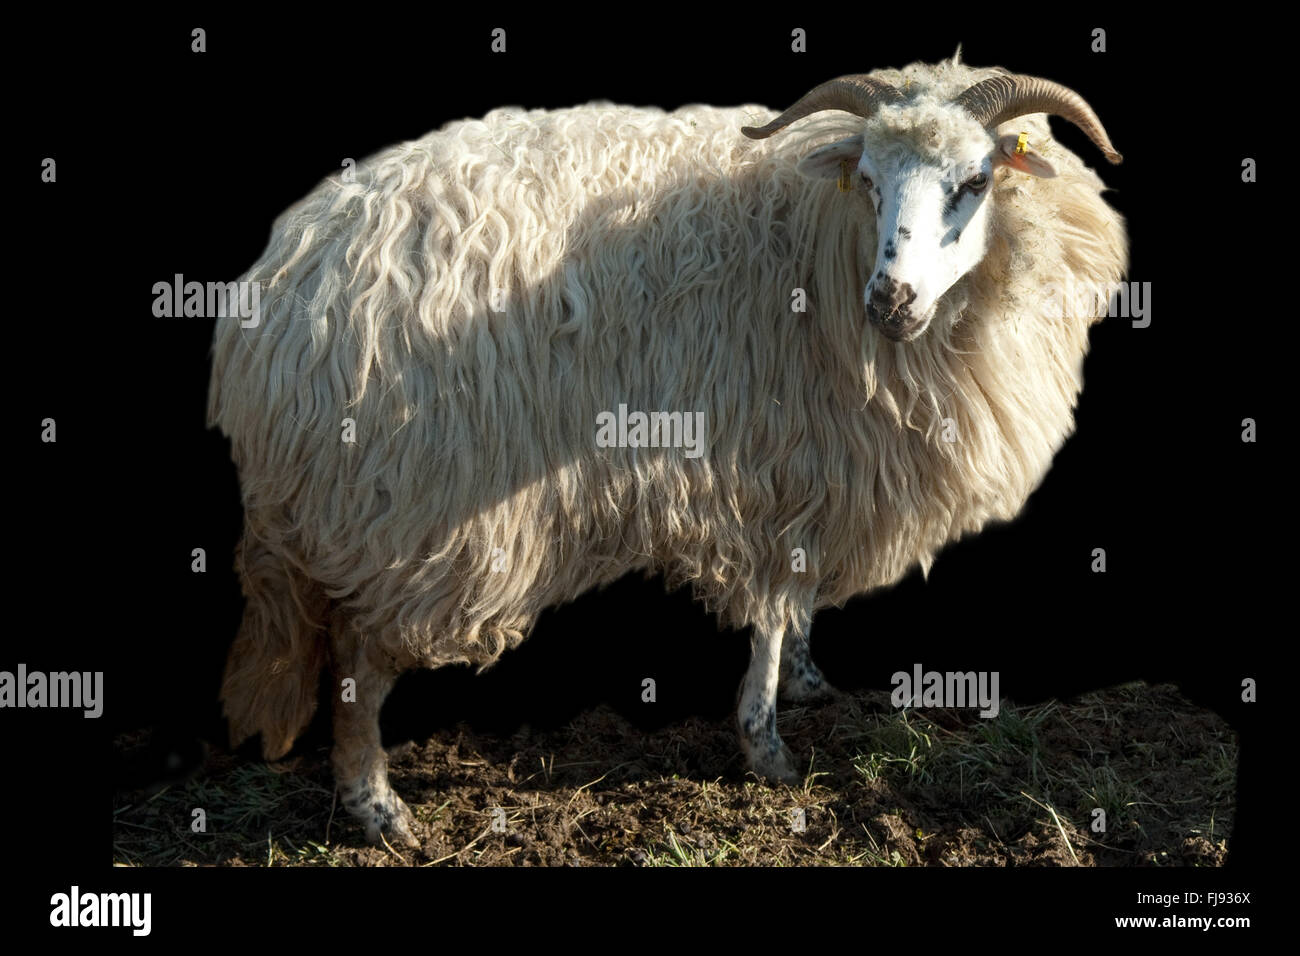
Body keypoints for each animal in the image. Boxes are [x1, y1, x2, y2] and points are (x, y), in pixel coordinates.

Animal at [208, 52, 1127, 847]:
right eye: (867, 181)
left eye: (976, 182)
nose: (889, 301)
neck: (816, 240)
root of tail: (284, 287)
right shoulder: (772, 462)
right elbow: (771, 611)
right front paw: (766, 747)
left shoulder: (811, 464)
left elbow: (794, 605)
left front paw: (808, 685)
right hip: (407, 515)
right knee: (360, 667)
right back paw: (376, 809)